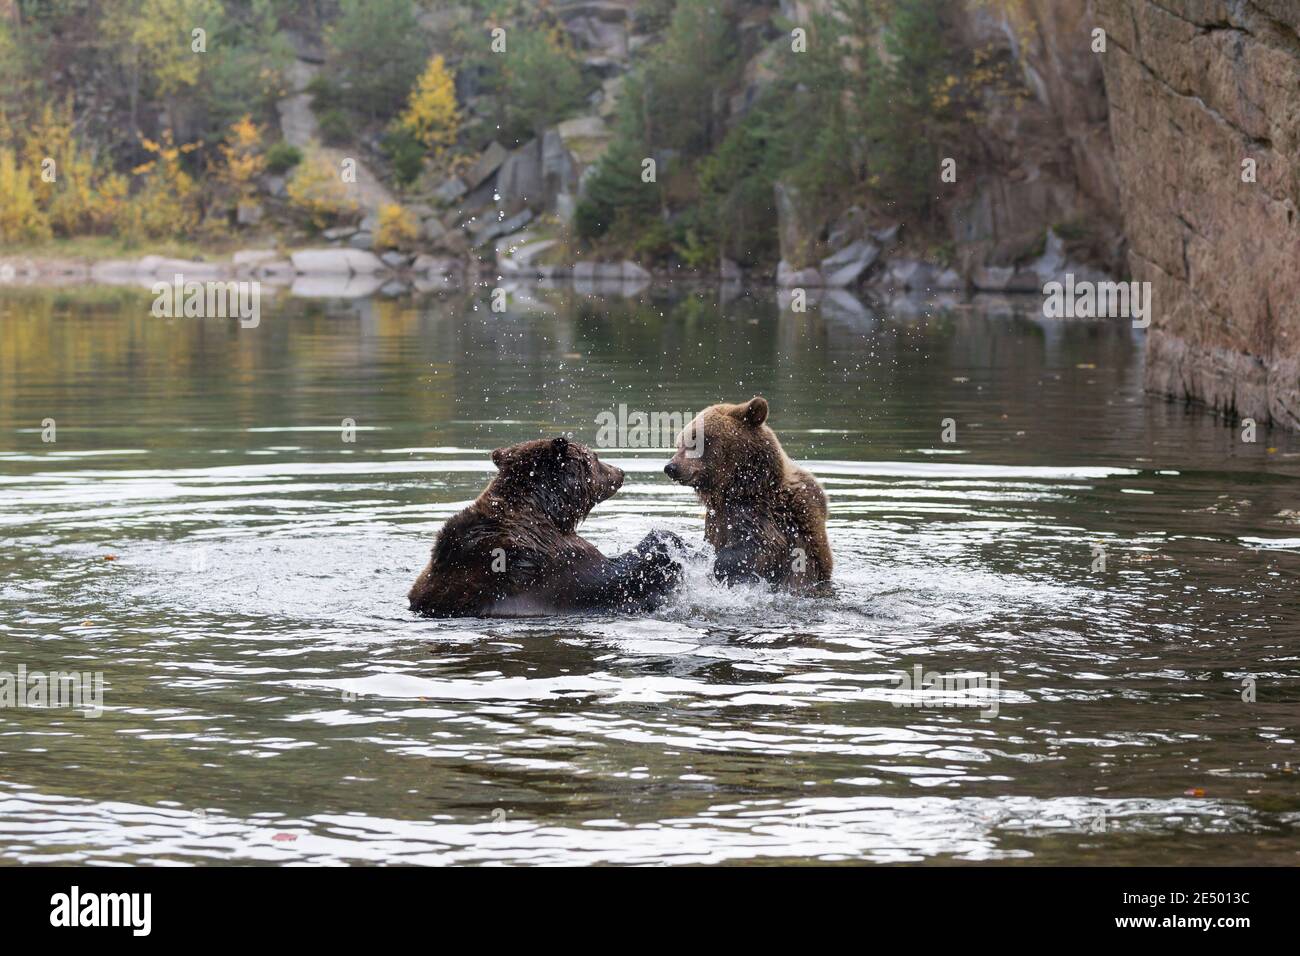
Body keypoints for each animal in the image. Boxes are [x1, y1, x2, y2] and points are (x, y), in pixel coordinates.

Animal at [409, 436, 684, 617]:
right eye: (594, 457)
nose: (620, 471)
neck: (549, 512)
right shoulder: (554, 558)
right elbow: (608, 574)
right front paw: (667, 542)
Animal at [664, 396, 831, 589]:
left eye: (695, 440)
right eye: (679, 444)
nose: (671, 467)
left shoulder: (765, 512)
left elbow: (760, 545)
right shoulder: (717, 518)